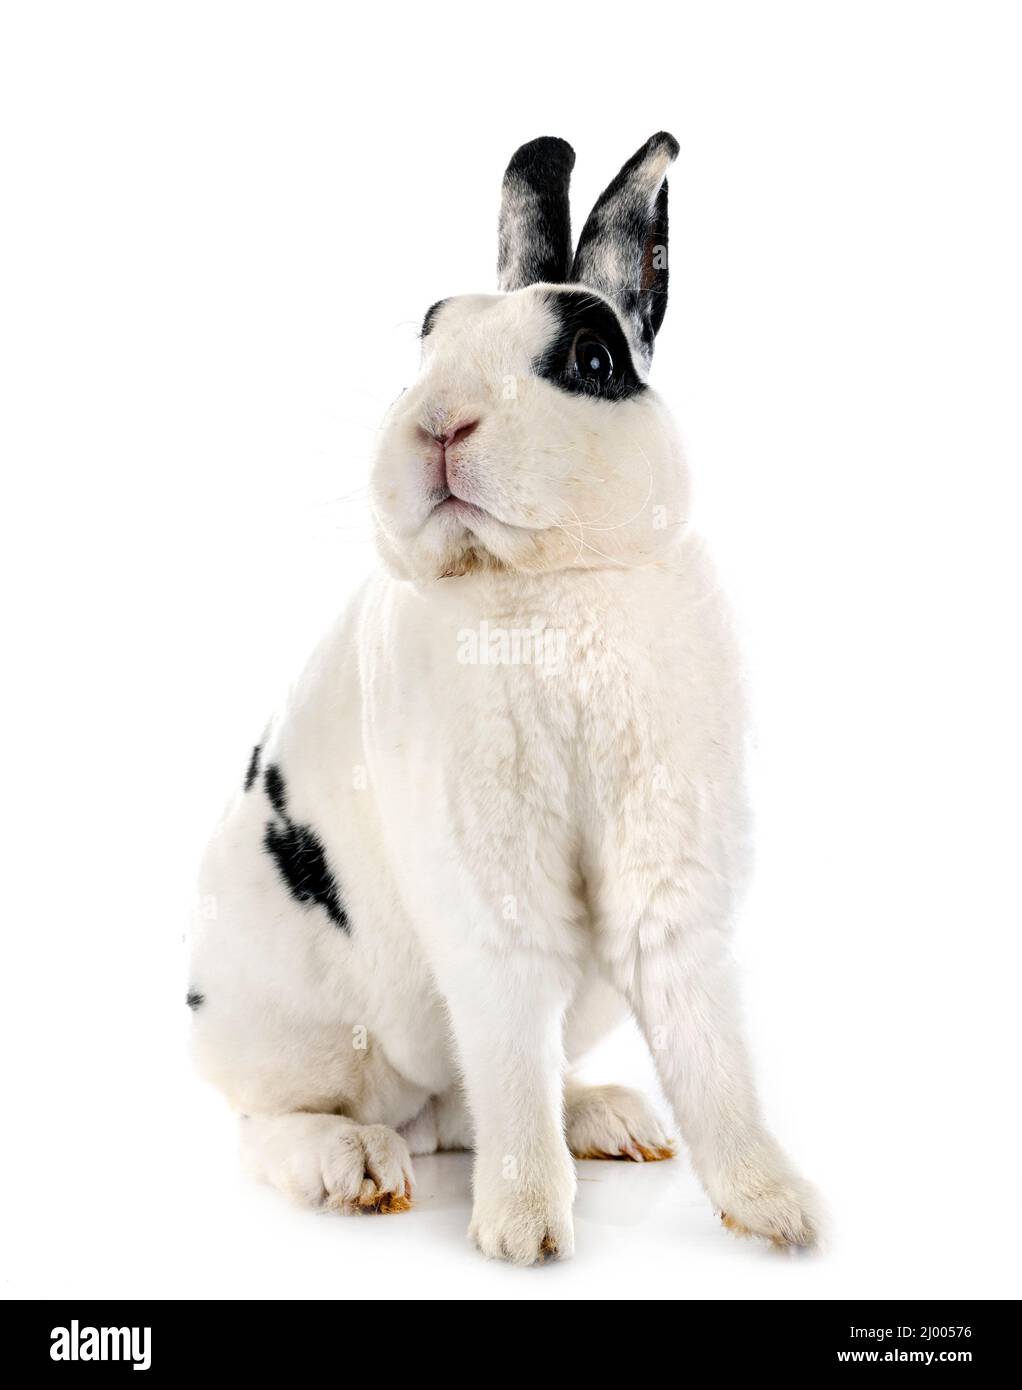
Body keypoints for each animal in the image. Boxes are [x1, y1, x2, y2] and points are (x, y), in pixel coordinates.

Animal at [188, 132, 821, 1264]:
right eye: (427, 340)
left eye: (593, 361)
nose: (440, 425)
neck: (547, 586)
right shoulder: (489, 888)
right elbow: (510, 1035)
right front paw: (524, 1229)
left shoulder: (670, 868)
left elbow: (703, 1036)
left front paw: (775, 1209)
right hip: (285, 1018)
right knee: (278, 1119)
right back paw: (353, 1165)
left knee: (477, 1096)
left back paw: (610, 1119)